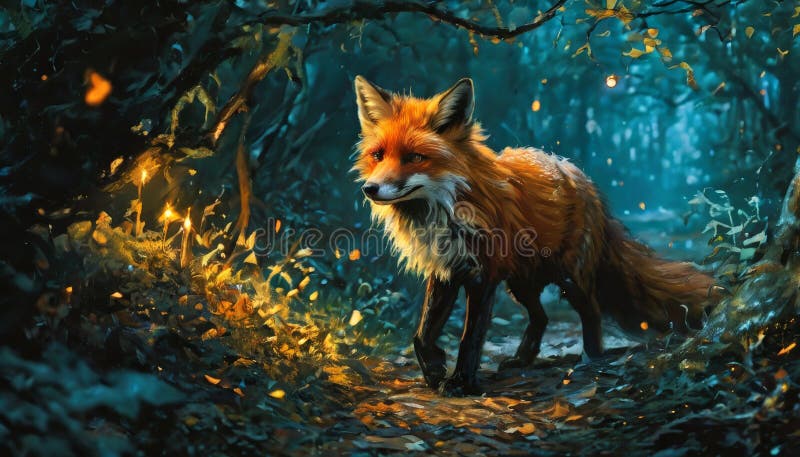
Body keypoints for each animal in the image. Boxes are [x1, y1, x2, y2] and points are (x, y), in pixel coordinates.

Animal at [352, 75, 716, 397]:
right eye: (378, 155)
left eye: (415, 158)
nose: (370, 189)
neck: (442, 211)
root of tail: (579, 176)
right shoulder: (445, 270)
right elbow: (422, 334)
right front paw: (435, 370)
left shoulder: (483, 275)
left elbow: (471, 338)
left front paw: (460, 384)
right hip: (521, 282)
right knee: (541, 317)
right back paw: (522, 358)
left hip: (569, 279)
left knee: (592, 310)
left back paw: (591, 357)